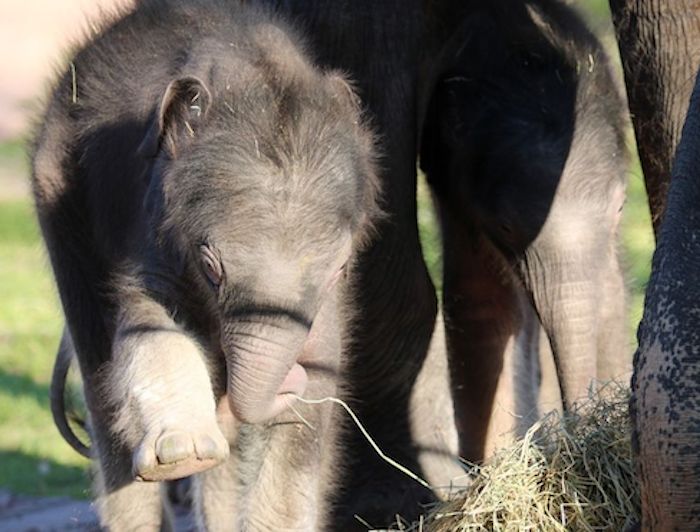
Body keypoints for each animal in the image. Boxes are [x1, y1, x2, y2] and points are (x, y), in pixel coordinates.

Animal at [32, 0, 383, 528]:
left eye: (339, 270)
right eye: (209, 264)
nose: (290, 379)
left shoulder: (329, 305)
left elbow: (313, 400)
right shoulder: (151, 224)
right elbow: (149, 320)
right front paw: (181, 452)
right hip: (59, 191)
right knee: (102, 390)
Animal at [419, 0, 630, 462]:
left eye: (621, 208)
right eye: (505, 226)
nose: (580, 441)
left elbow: (610, 294)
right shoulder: (454, 185)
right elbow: (480, 301)